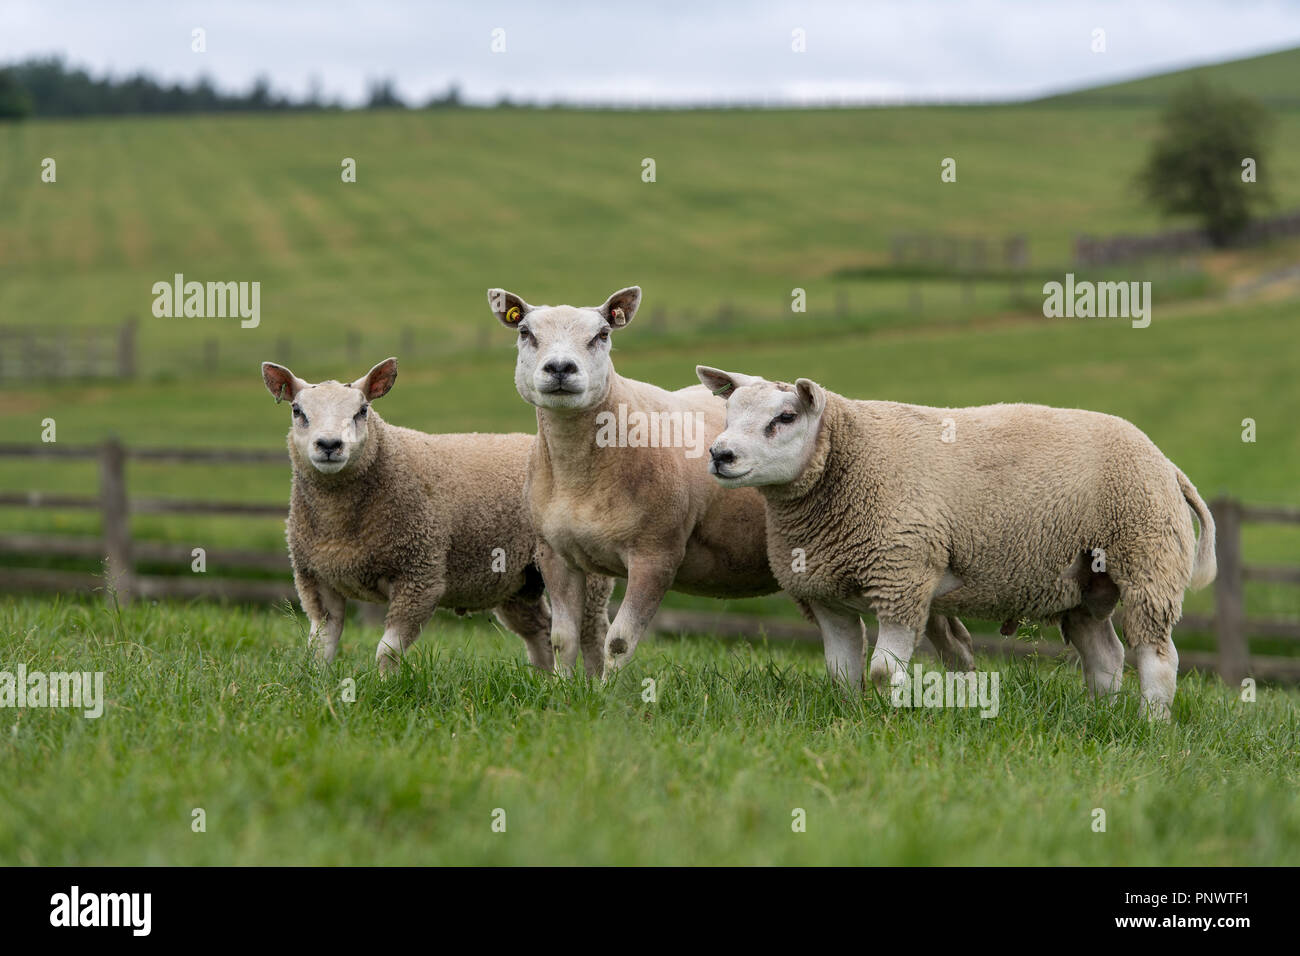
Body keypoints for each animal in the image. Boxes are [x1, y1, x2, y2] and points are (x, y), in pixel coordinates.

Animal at [260, 357, 612, 674]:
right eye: (297, 411)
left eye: (362, 411)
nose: (329, 445)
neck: (339, 523)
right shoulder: (316, 581)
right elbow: (320, 648)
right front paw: (318, 687)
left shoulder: (420, 574)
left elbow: (386, 652)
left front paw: (386, 689)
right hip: (517, 580)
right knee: (539, 629)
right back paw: (543, 682)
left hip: (586, 570)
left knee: (593, 633)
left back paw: (592, 685)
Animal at [485, 285, 976, 682]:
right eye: (525, 331)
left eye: (602, 334)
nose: (561, 368)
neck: (581, 471)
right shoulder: (555, 554)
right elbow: (563, 640)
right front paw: (565, 694)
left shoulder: (656, 554)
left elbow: (619, 642)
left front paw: (607, 697)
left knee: (948, 639)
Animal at [696, 366, 1216, 719]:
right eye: (729, 412)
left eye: (785, 417)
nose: (721, 455)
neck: (849, 458)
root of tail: (1167, 464)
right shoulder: (826, 594)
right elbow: (841, 671)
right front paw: (850, 715)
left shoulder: (901, 576)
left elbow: (883, 671)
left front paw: (890, 716)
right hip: (1085, 583)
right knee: (1106, 655)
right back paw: (1098, 716)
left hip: (1147, 557)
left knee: (1157, 657)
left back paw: (1151, 723)